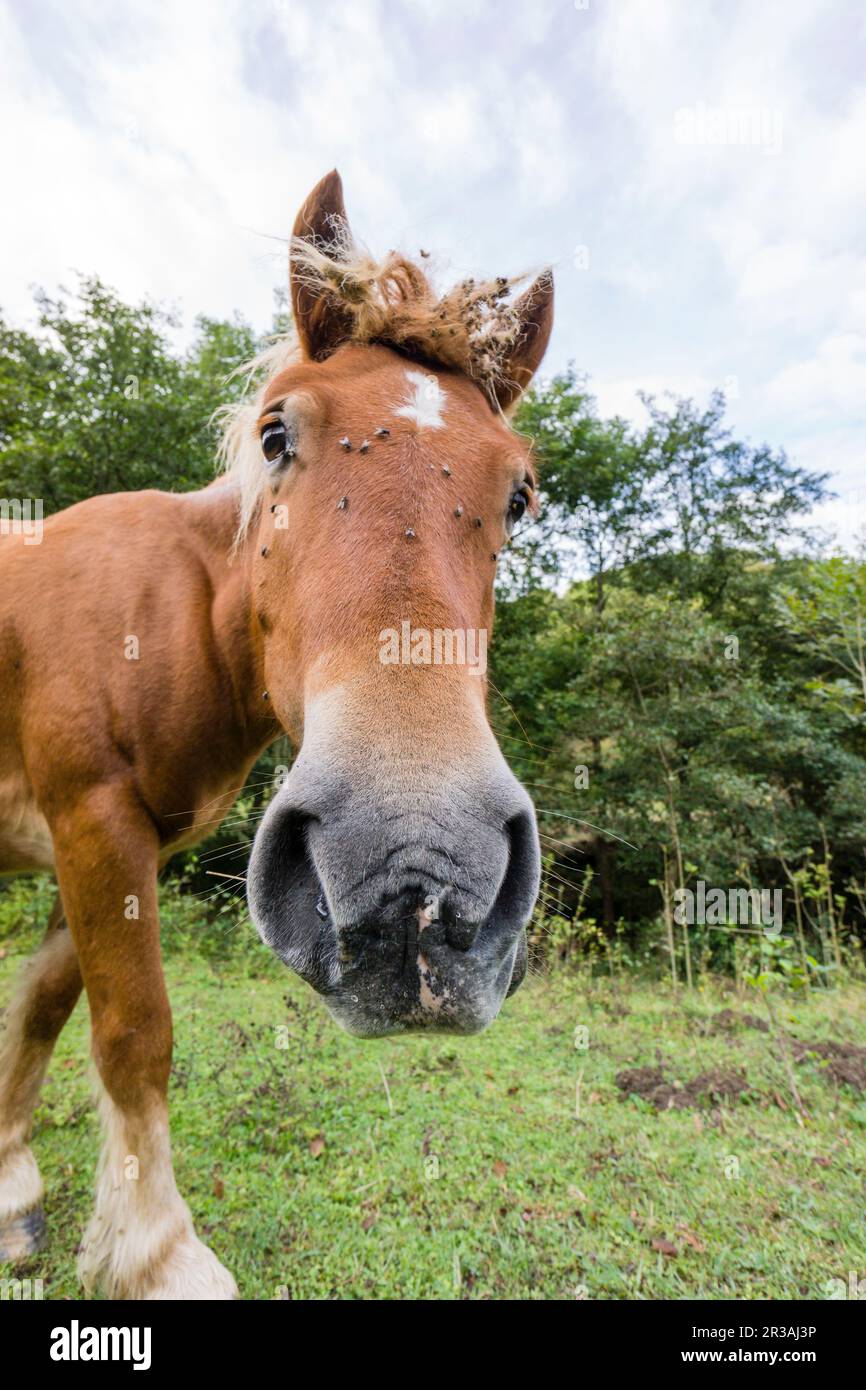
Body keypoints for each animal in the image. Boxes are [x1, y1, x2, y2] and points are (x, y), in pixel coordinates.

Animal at [0, 170, 553, 1299]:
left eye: (518, 493)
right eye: (273, 434)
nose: (415, 875)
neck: (171, 611)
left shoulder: (110, 847)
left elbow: (38, 1011)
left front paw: (13, 1193)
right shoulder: (92, 824)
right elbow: (135, 1032)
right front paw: (156, 1252)